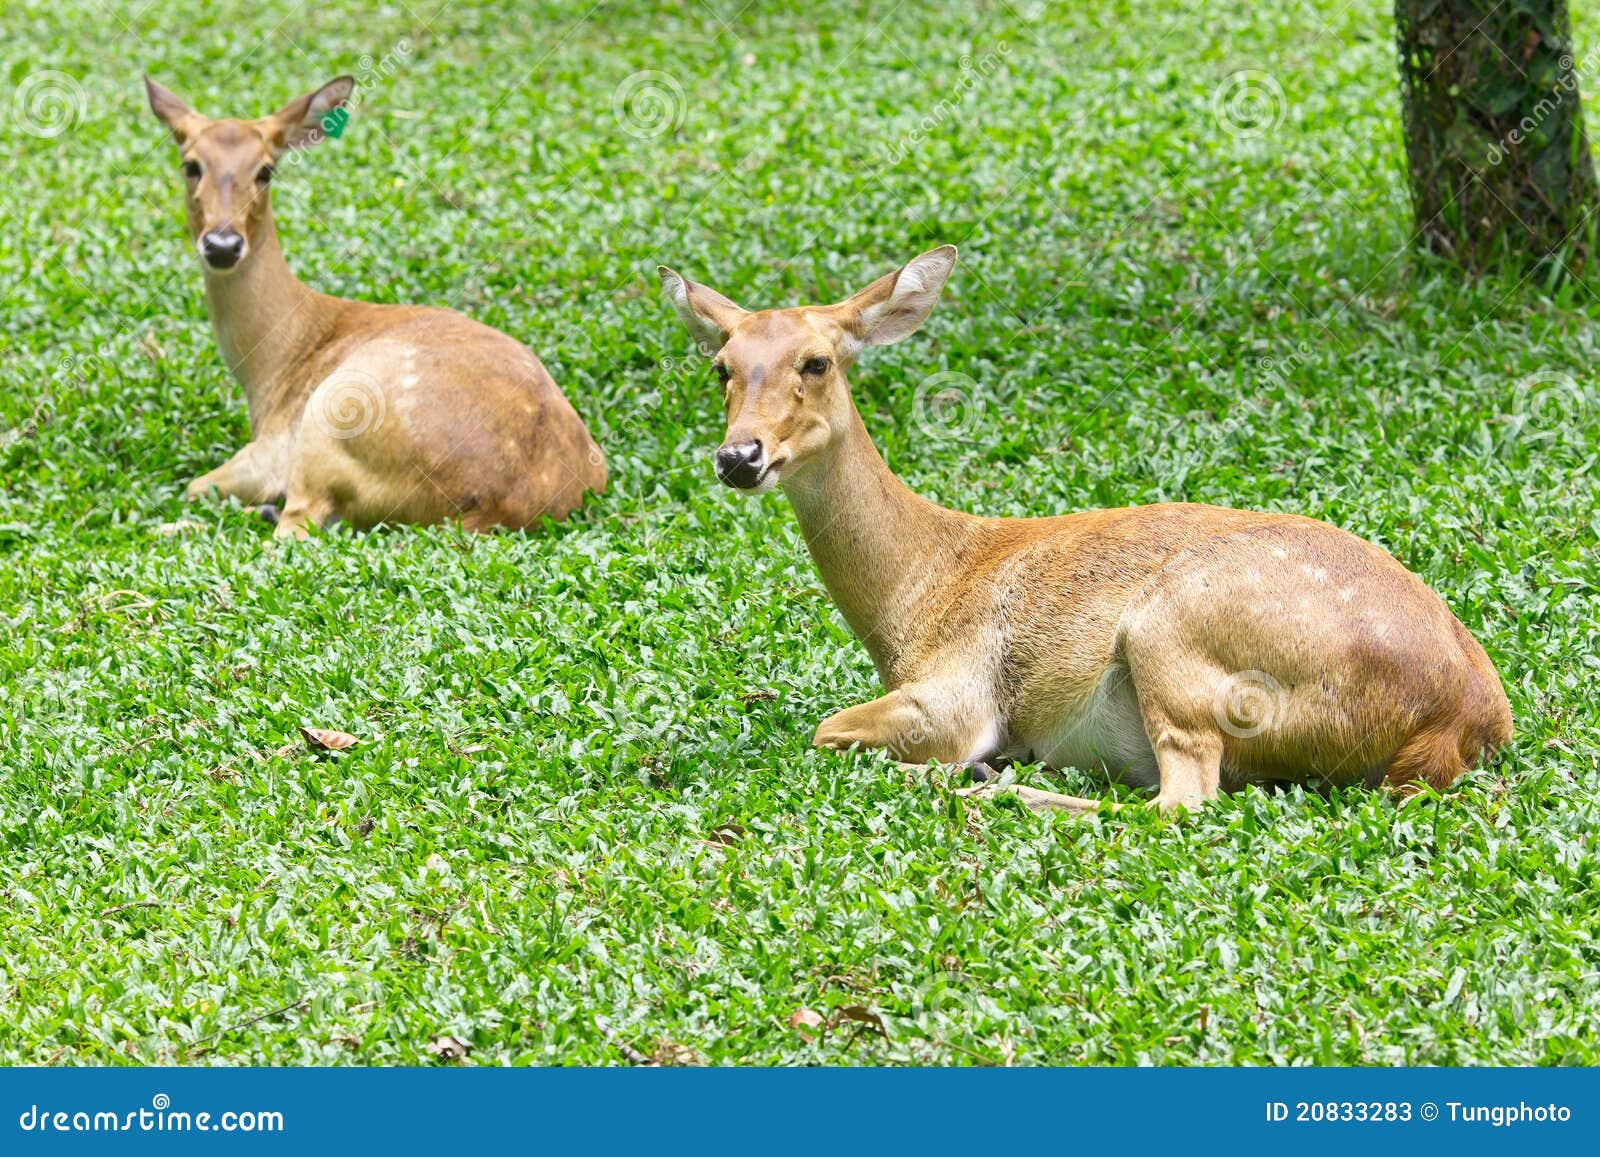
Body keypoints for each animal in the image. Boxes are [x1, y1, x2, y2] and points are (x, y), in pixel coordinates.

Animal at [144, 75, 606, 539]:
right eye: (191, 165)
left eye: (265, 170)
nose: (222, 245)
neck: (275, 363)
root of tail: (493, 509)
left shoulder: (269, 452)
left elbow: (195, 485)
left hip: (328, 422)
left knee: (294, 528)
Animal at [658, 246, 1512, 813]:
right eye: (721, 367)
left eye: (817, 361)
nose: (739, 455)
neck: (917, 594)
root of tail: (1464, 717)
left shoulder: (958, 689)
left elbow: (826, 728)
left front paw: (971, 764)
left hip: (1178, 638)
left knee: (1181, 800)